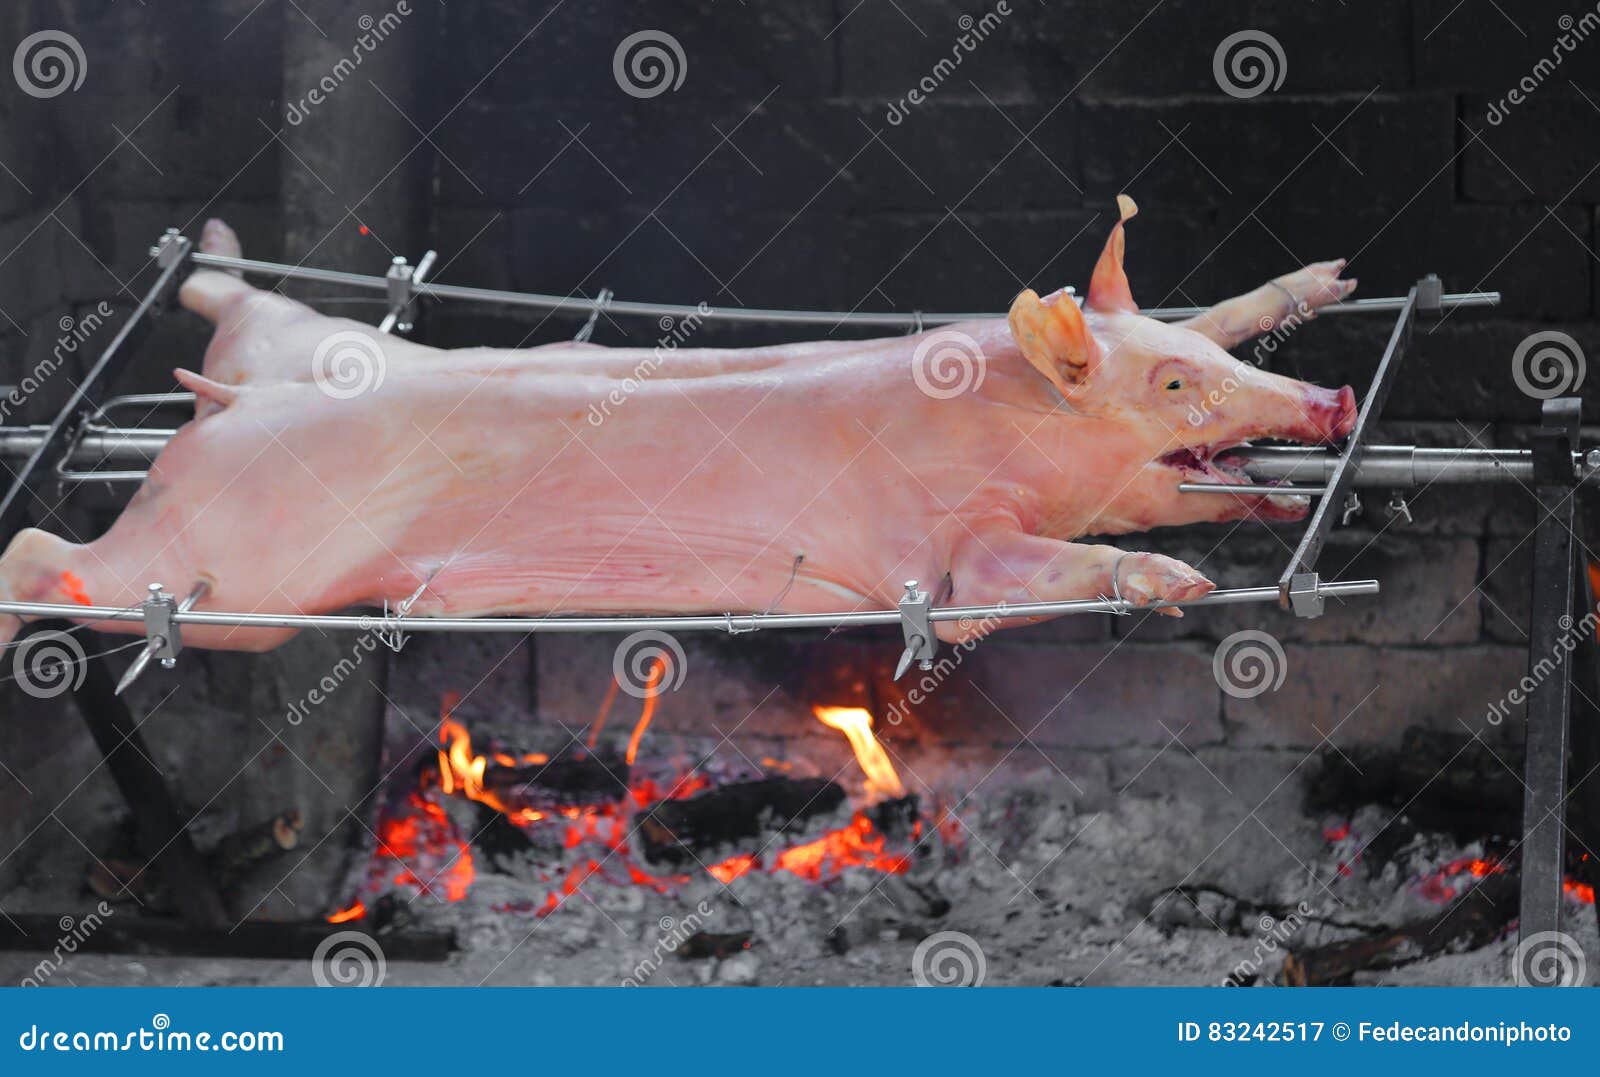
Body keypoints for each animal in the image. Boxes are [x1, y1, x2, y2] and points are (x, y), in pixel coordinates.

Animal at [0, 197, 1356, 652]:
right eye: (1168, 392)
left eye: (1197, 366)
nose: (1332, 404)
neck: (995, 402)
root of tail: (230, 401)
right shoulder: (931, 536)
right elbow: (992, 577)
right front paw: (1174, 581)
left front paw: (1324, 280)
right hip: (239, 556)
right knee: (60, 560)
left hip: (299, 356)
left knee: (241, 297)